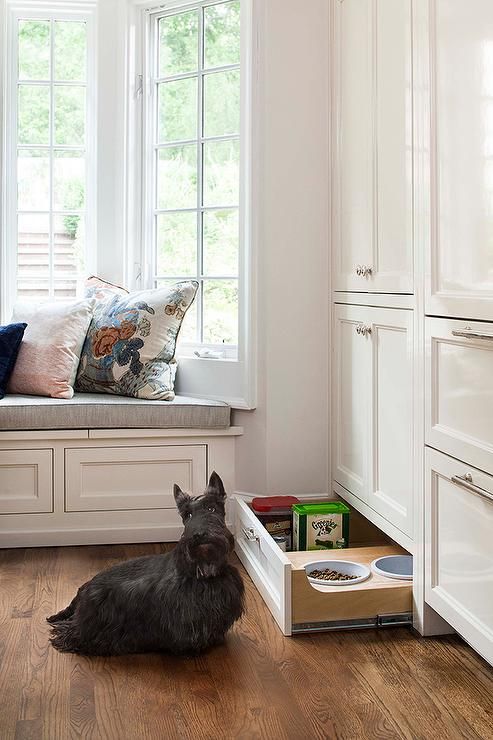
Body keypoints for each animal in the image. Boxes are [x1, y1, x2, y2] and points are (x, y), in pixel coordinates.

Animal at [47, 472, 243, 656]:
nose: (199, 534)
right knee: (72, 633)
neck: (204, 568)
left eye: (211, 508)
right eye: (188, 515)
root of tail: (84, 588)